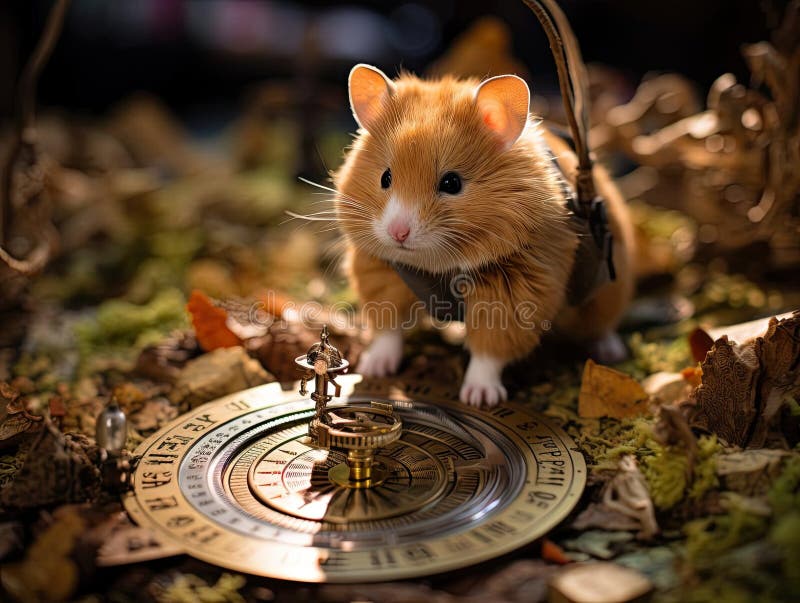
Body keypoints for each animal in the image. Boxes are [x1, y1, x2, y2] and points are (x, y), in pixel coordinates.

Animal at [334, 64, 635, 407]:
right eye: (385, 177)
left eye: (452, 183)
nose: (398, 233)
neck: (439, 263)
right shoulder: (381, 273)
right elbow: (389, 328)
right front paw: (373, 369)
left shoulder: (515, 292)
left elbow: (488, 352)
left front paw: (478, 398)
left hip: (611, 284)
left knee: (602, 323)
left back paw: (611, 354)